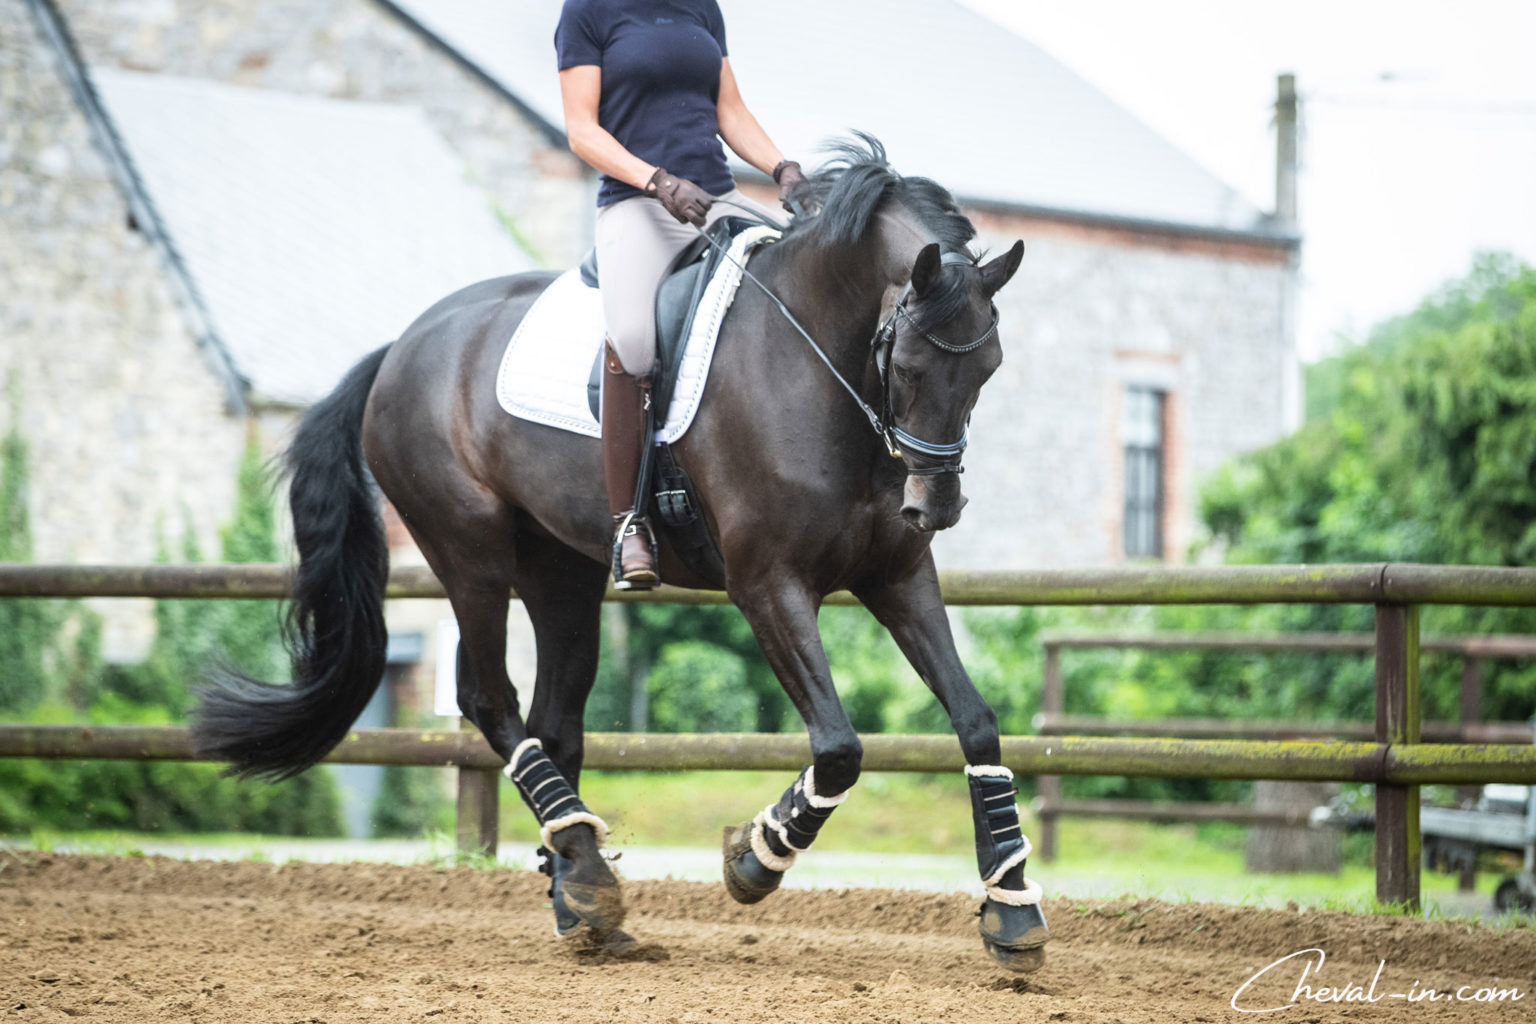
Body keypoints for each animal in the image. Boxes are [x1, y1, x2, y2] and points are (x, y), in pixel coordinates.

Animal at [190, 136, 1048, 970]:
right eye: (906, 365)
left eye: (990, 368)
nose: (935, 506)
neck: (816, 362)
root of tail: (402, 346)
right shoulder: (767, 584)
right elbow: (839, 747)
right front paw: (754, 858)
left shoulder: (897, 576)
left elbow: (976, 721)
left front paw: (1012, 907)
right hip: (470, 555)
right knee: (489, 699)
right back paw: (589, 877)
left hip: (562, 573)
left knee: (554, 723)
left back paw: (579, 895)